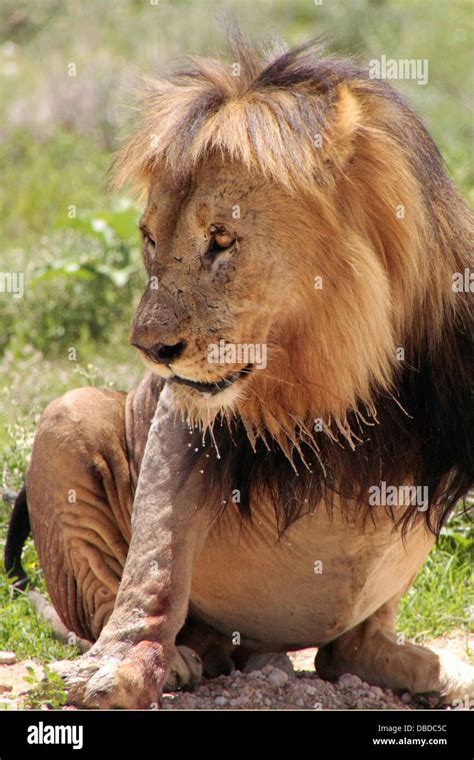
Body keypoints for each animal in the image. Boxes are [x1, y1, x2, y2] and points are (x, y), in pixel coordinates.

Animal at [5, 31, 474, 708]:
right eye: (150, 239)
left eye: (221, 240)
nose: (148, 347)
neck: (337, 371)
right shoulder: (185, 418)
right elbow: (156, 557)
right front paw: (118, 667)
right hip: (67, 414)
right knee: (113, 606)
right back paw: (179, 656)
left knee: (346, 652)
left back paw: (429, 671)